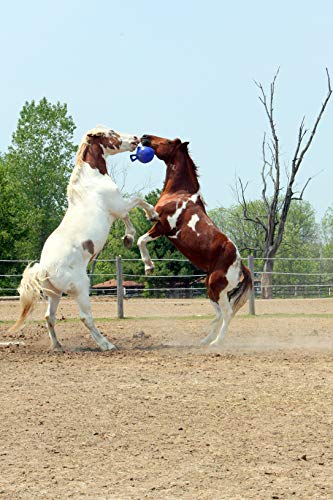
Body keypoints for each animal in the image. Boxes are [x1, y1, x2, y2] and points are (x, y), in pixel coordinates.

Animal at [9, 126, 157, 352]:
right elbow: (138, 202)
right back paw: (107, 344)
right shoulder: (119, 206)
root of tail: (43, 269)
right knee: (85, 317)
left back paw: (57, 346)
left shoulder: (118, 209)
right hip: (81, 289)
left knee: (49, 317)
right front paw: (149, 218)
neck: (91, 180)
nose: (135, 139)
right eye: (111, 132)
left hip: (54, 295)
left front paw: (129, 237)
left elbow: (130, 215)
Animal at [138, 135, 252, 346]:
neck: (179, 194)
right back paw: (205, 341)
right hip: (210, 288)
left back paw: (216, 343)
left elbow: (141, 240)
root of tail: (241, 265)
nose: (145, 137)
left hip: (216, 287)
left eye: (167, 142)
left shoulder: (162, 227)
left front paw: (149, 267)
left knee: (227, 313)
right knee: (219, 314)